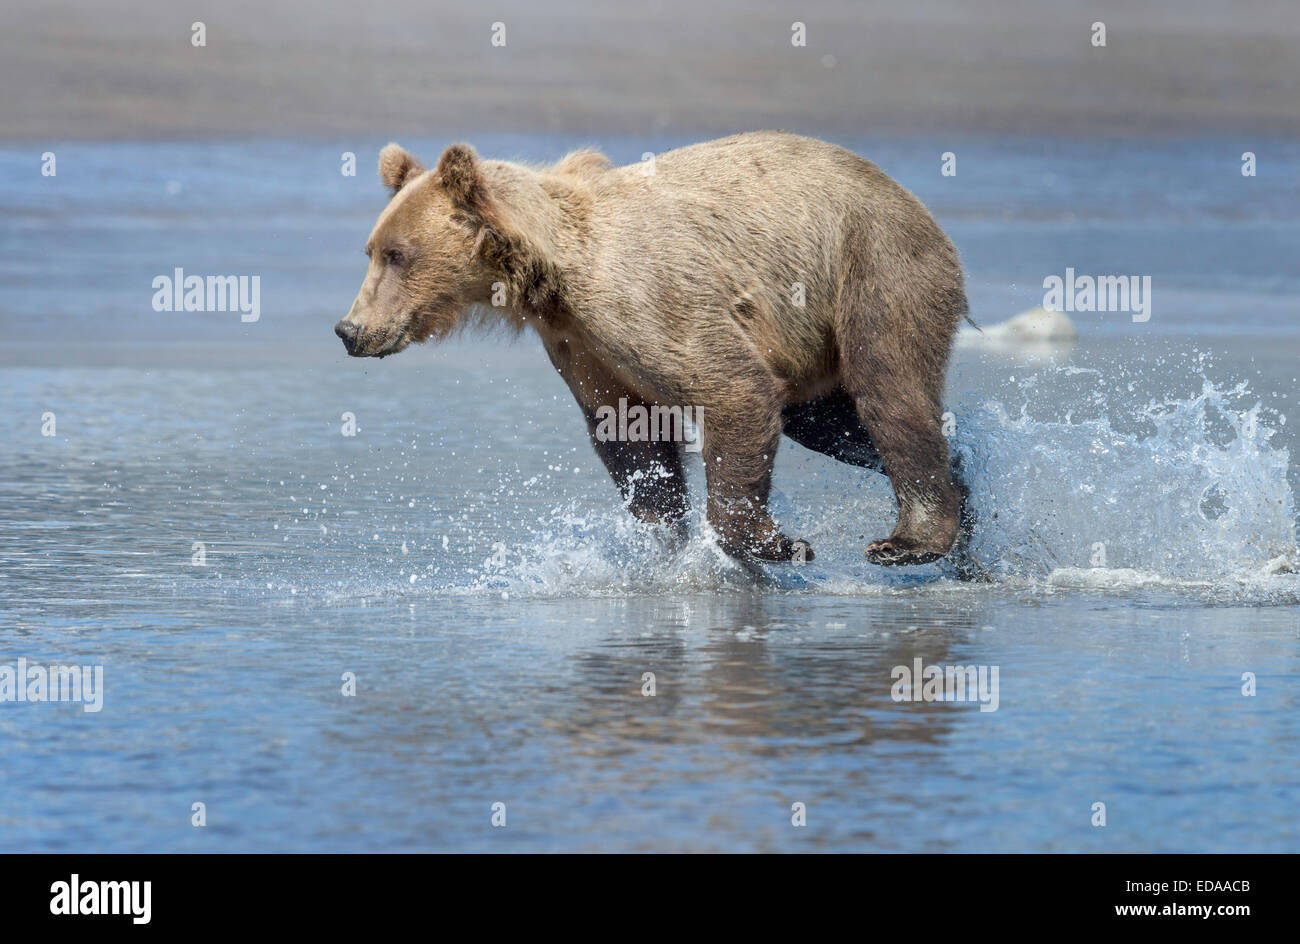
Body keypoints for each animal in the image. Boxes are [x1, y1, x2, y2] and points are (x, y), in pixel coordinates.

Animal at [337, 132, 973, 570]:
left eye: (396, 254)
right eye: (370, 250)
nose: (350, 330)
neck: (547, 278)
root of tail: (916, 204)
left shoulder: (644, 300)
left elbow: (733, 390)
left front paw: (776, 543)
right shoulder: (580, 342)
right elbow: (629, 434)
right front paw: (661, 544)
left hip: (874, 264)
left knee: (886, 388)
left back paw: (908, 540)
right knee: (828, 422)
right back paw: (965, 503)